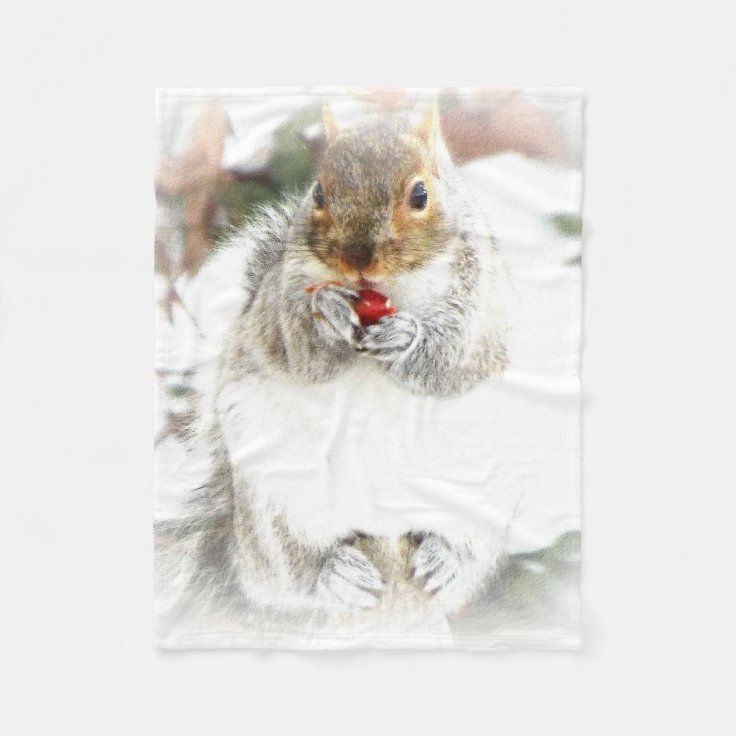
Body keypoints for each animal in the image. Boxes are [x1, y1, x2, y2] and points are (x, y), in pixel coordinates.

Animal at [156, 101, 514, 627]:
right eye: (319, 192)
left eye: (420, 194)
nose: (357, 259)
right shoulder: (279, 294)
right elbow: (292, 346)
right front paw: (325, 311)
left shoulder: (479, 297)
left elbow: (455, 361)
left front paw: (408, 338)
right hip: (275, 496)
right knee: (290, 571)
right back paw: (333, 572)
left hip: (479, 478)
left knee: (461, 548)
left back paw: (445, 559)